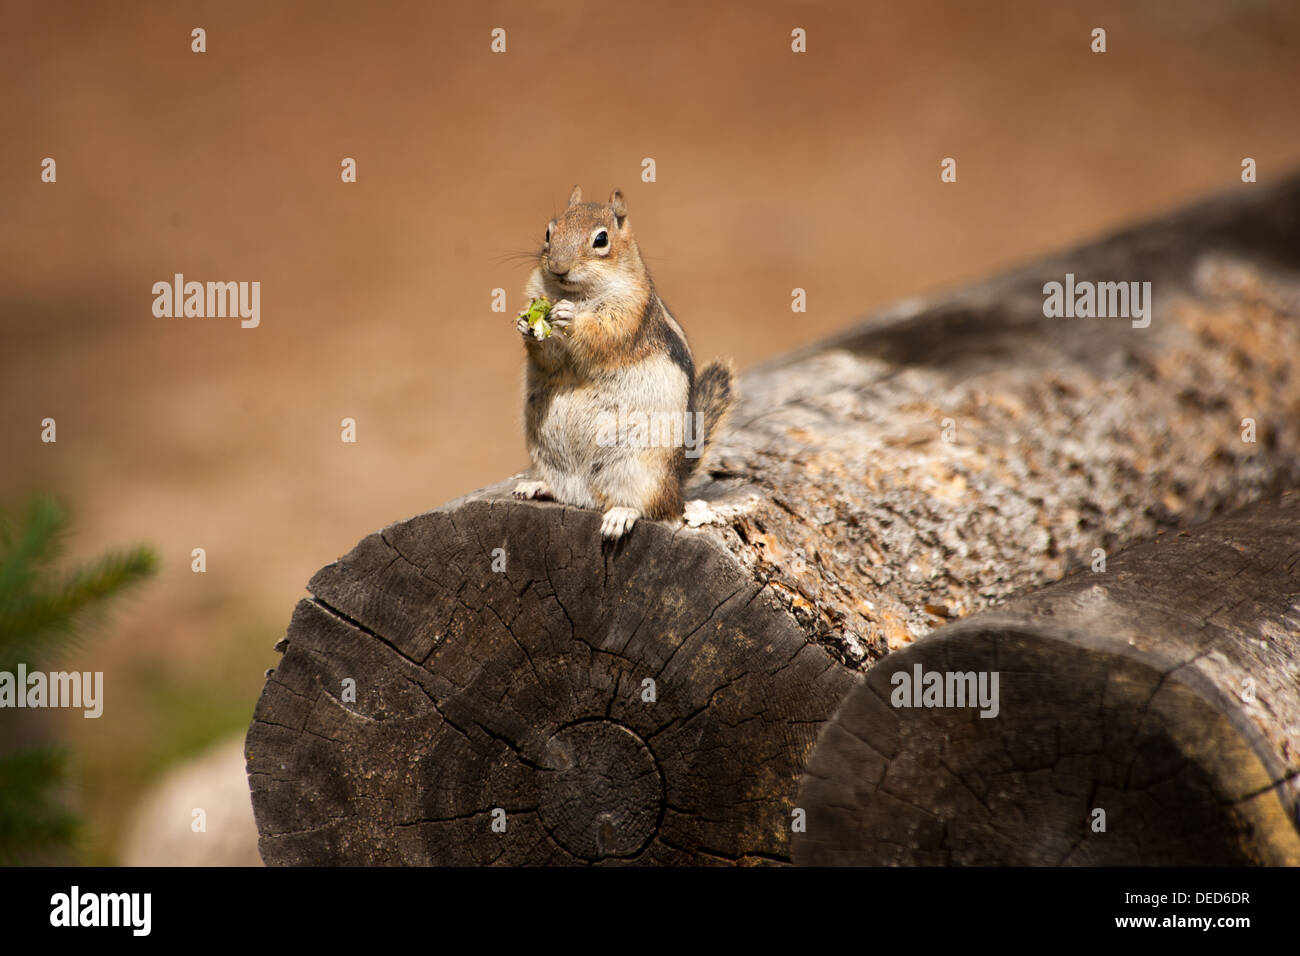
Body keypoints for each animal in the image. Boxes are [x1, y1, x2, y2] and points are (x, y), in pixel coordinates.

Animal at [512, 185, 735, 540]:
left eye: (601, 239)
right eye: (549, 232)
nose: (558, 266)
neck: (576, 294)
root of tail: (676, 485)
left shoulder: (628, 312)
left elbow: (602, 333)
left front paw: (568, 317)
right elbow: (548, 357)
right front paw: (527, 325)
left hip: (640, 472)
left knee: (651, 508)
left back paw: (620, 514)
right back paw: (537, 487)